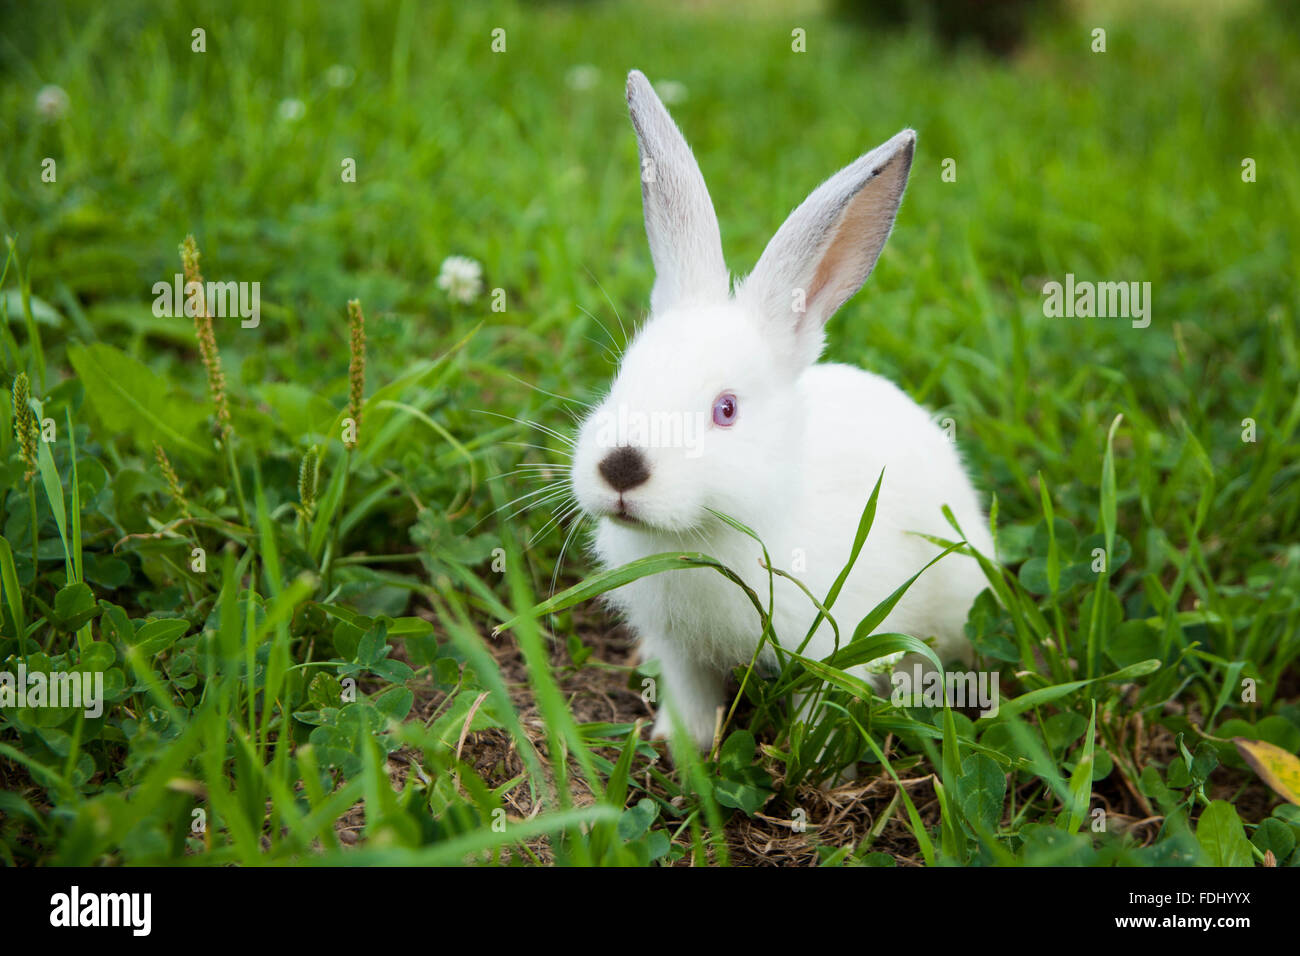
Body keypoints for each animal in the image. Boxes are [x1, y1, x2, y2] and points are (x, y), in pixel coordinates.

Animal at [568, 71, 994, 750]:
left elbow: (819, 705)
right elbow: (689, 695)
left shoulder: (831, 649)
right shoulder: (679, 651)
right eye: (620, 377)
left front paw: (804, 749)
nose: (621, 469)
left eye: (726, 409)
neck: (708, 535)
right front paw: (685, 747)